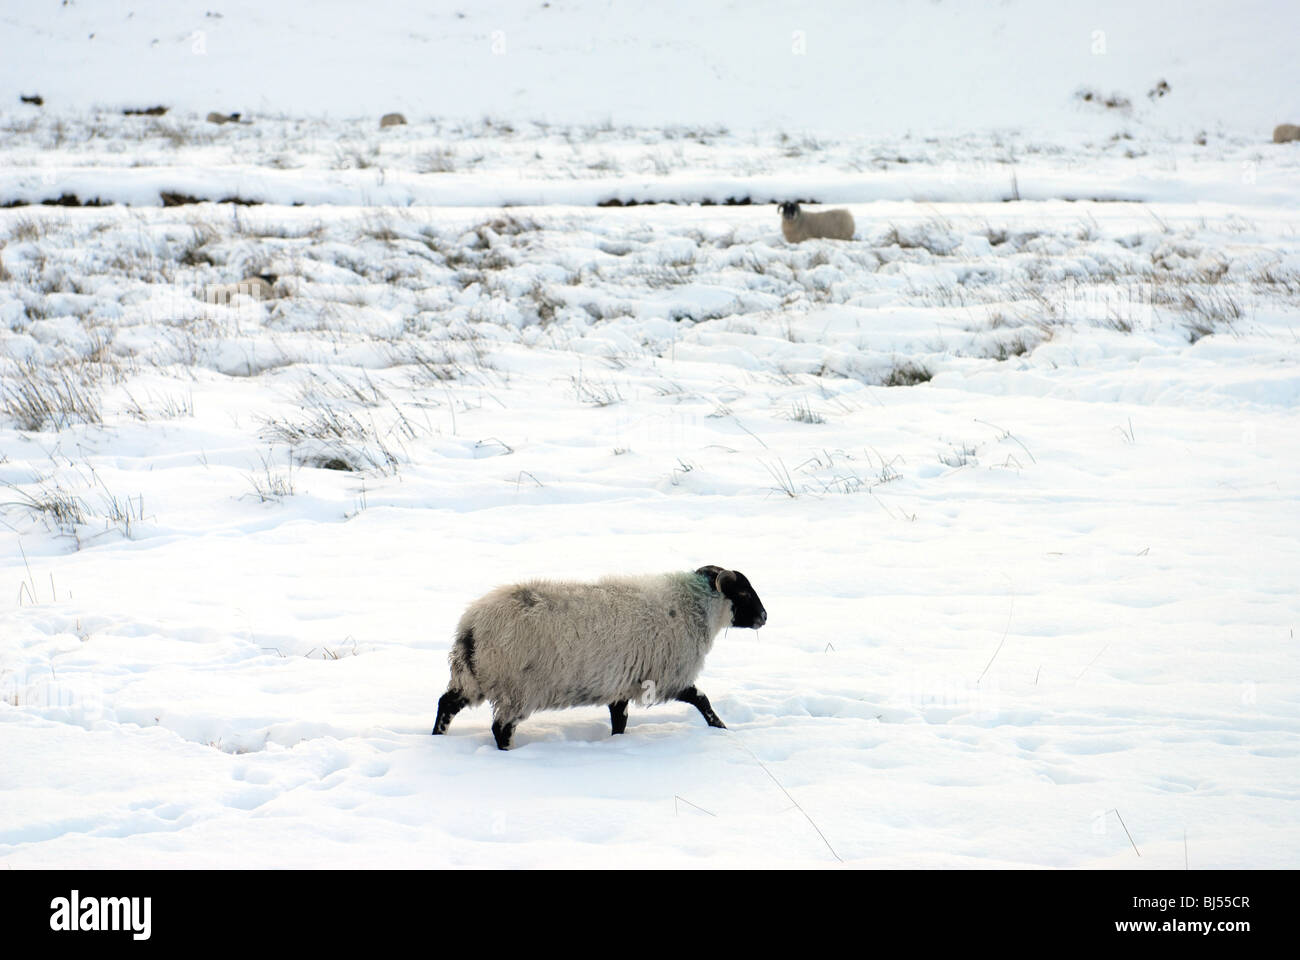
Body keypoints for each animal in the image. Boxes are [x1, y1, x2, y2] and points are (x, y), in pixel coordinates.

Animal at [432, 565, 767, 749]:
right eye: (744, 593)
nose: (764, 617)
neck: (692, 607)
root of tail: (471, 626)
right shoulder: (665, 677)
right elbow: (701, 699)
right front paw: (721, 729)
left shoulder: (622, 682)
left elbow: (619, 718)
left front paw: (617, 743)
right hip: (516, 688)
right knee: (500, 728)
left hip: (472, 677)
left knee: (447, 703)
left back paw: (437, 738)